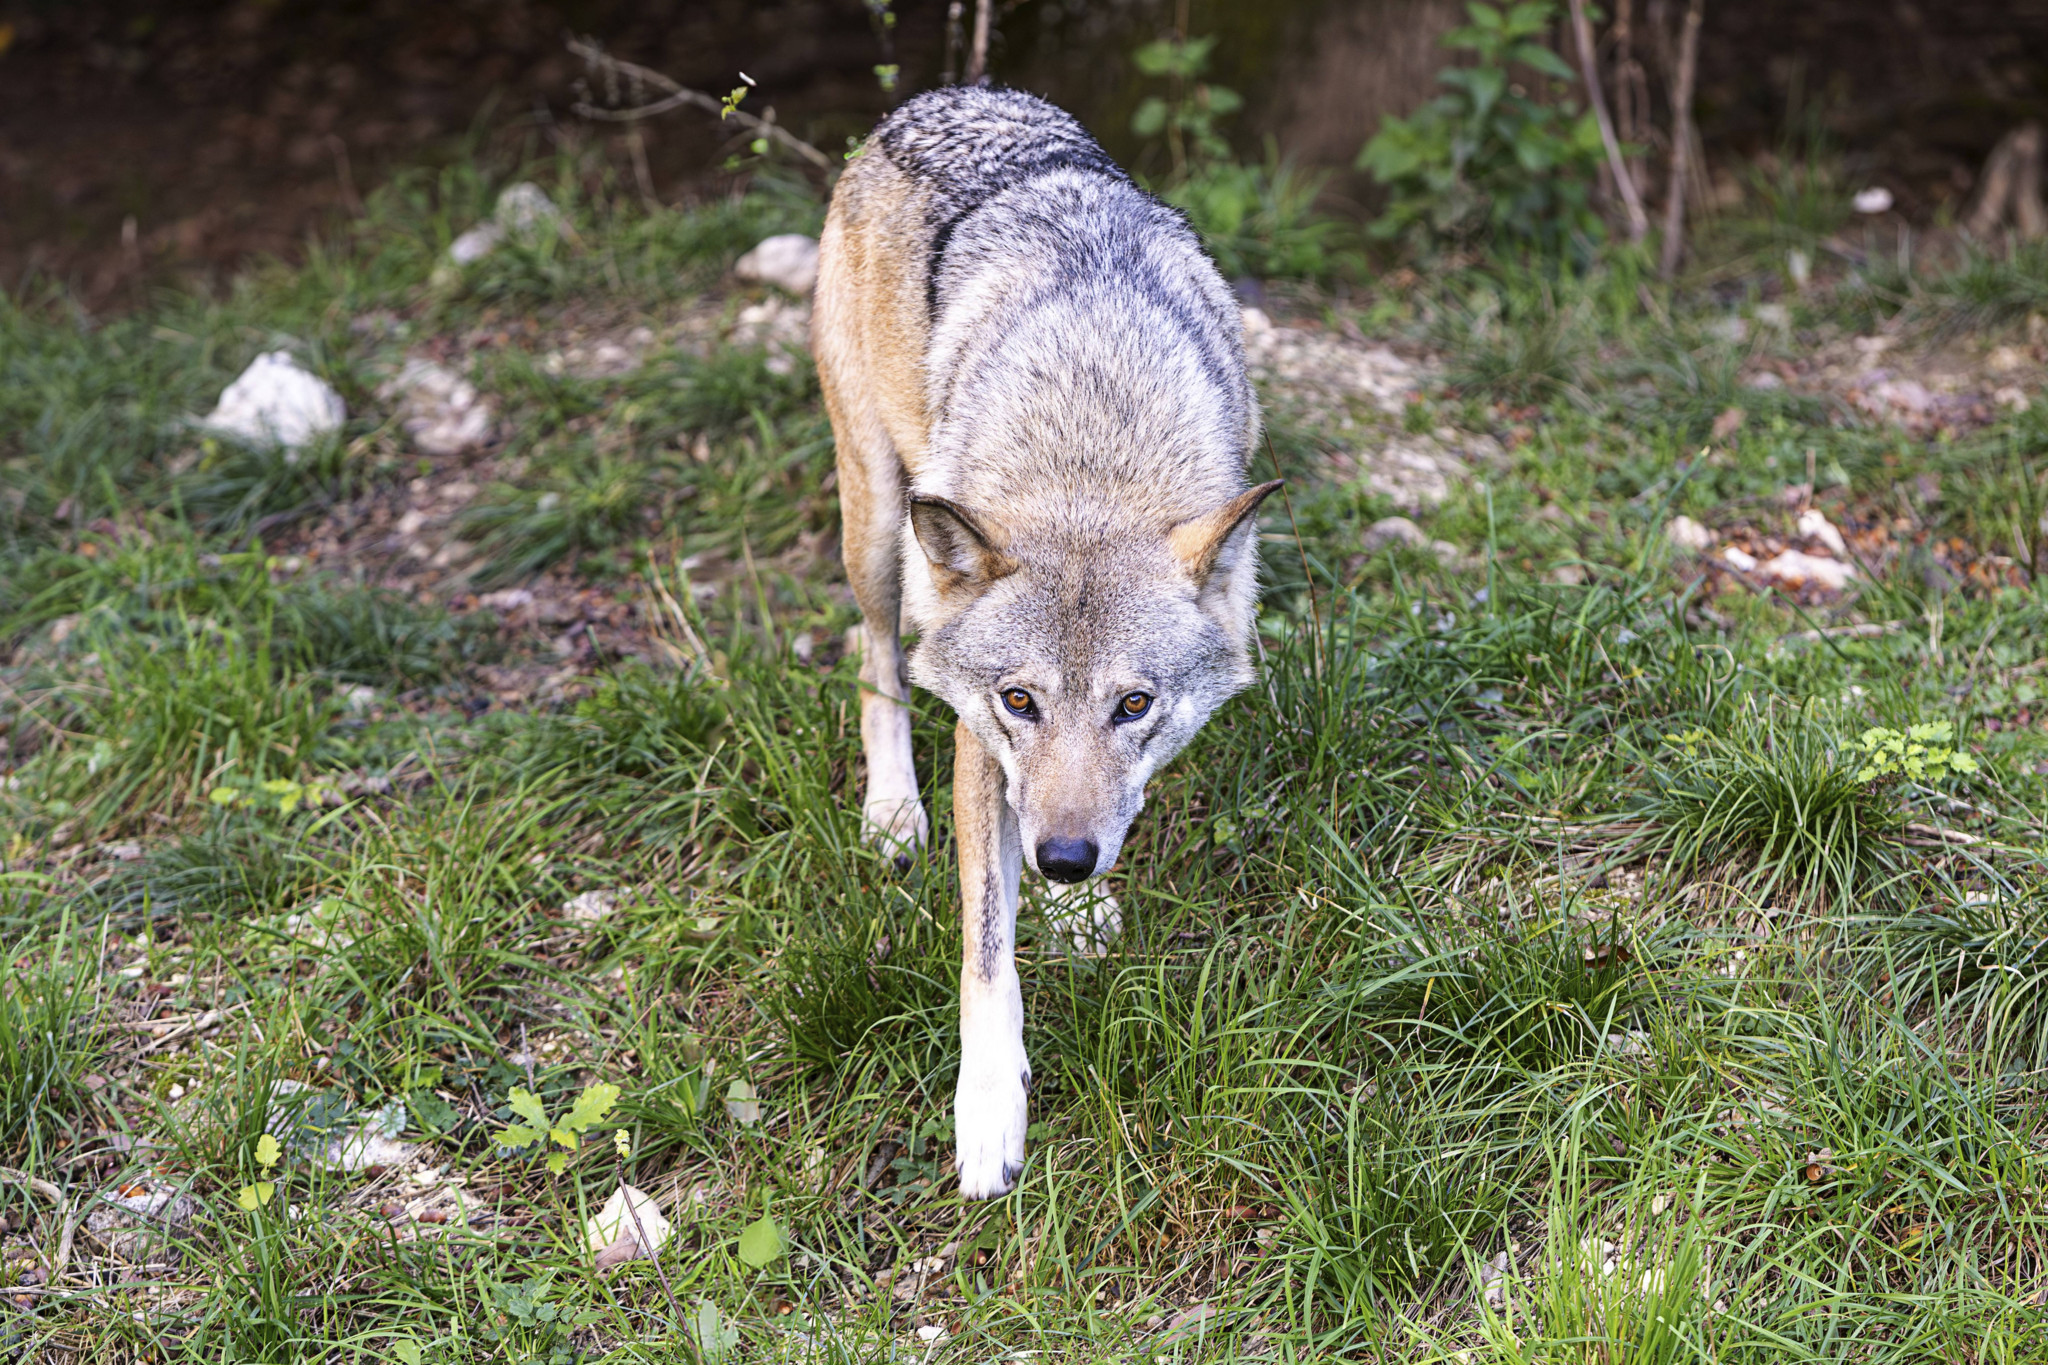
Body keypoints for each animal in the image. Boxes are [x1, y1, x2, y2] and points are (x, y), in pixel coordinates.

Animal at [812, 84, 1277, 1198]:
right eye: (1018, 701)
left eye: (1134, 704)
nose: (1063, 861)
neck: (1088, 447)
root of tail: (946, 96)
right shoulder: (976, 736)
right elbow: (986, 947)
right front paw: (988, 1116)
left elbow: (1104, 812)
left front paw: (1076, 913)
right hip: (880, 525)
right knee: (875, 659)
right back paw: (891, 811)